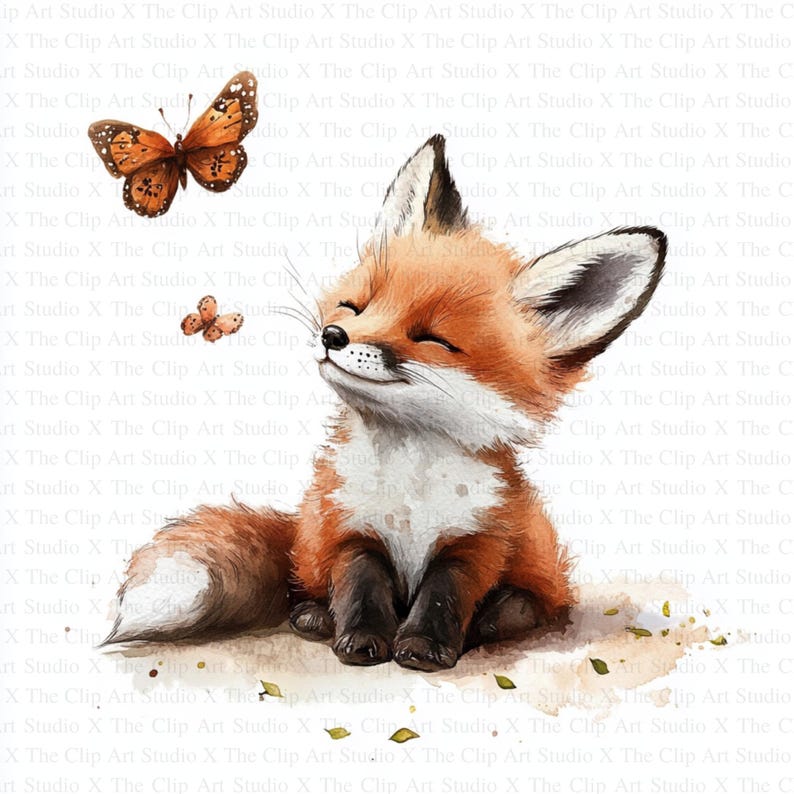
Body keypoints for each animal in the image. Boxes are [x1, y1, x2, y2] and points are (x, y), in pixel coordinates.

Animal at [103, 135, 666, 672]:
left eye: (432, 339)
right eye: (356, 305)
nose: (332, 336)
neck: (407, 487)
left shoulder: (477, 540)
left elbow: (443, 595)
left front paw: (422, 647)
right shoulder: (350, 529)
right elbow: (361, 589)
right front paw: (360, 641)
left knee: (529, 605)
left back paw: (500, 616)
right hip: (311, 543)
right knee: (305, 586)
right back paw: (313, 616)